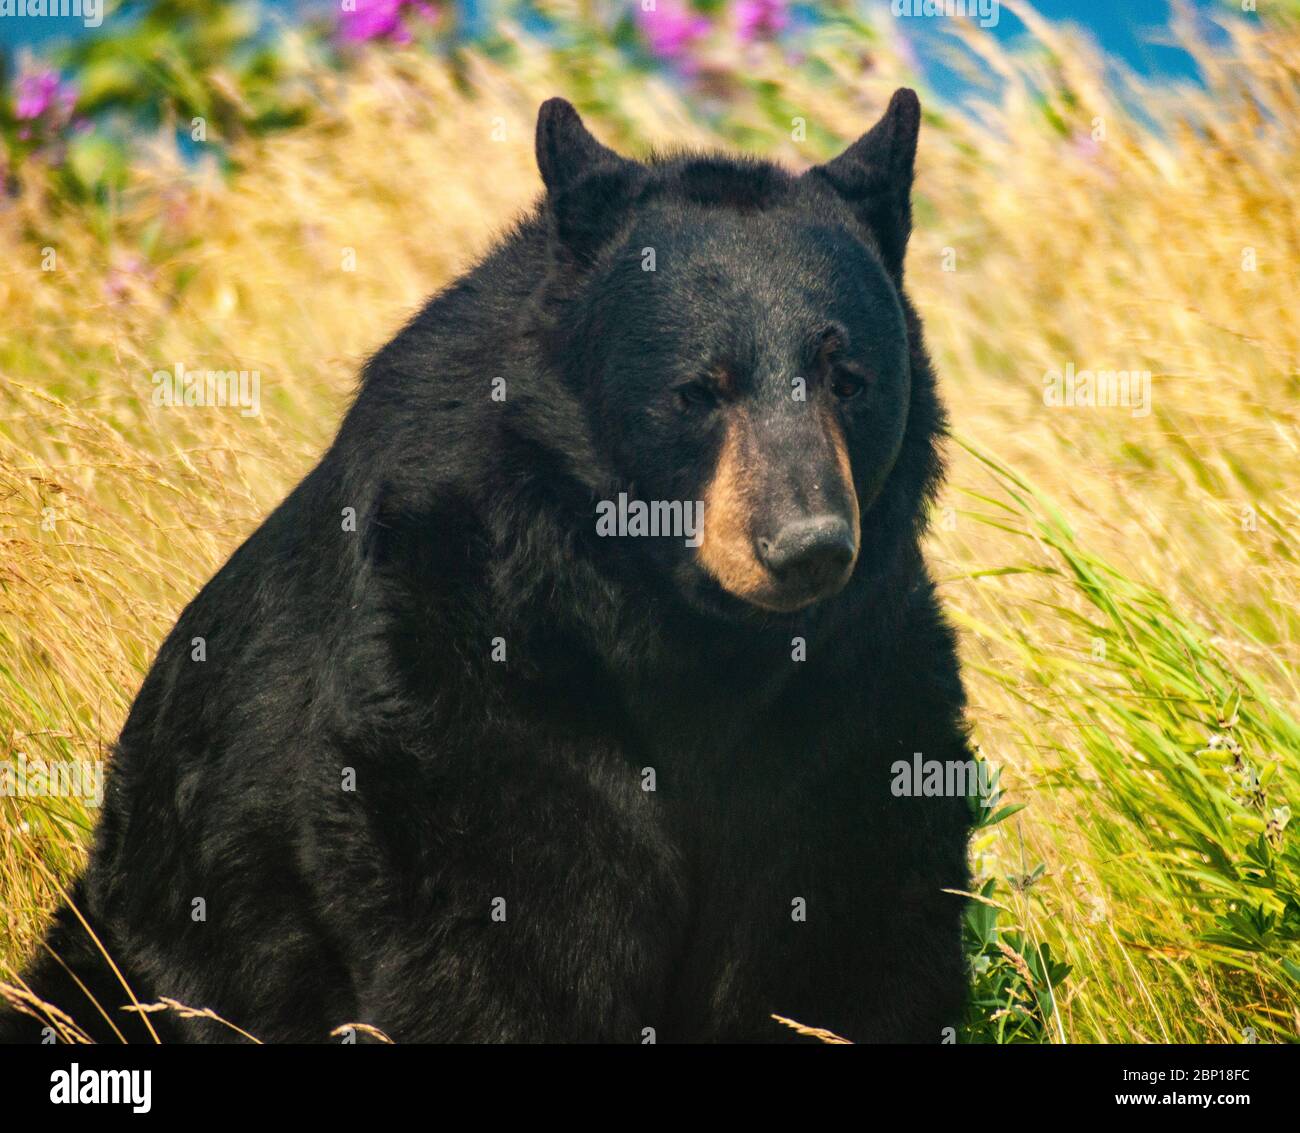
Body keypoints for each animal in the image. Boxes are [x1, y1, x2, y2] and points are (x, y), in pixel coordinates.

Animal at [2, 89, 973, 1044]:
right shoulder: (458, 653)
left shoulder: (855, 690)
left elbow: (840, 934)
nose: (805, 544)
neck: (671, 624)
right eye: (700, 388)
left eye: (849, 378)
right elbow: (504, 918)